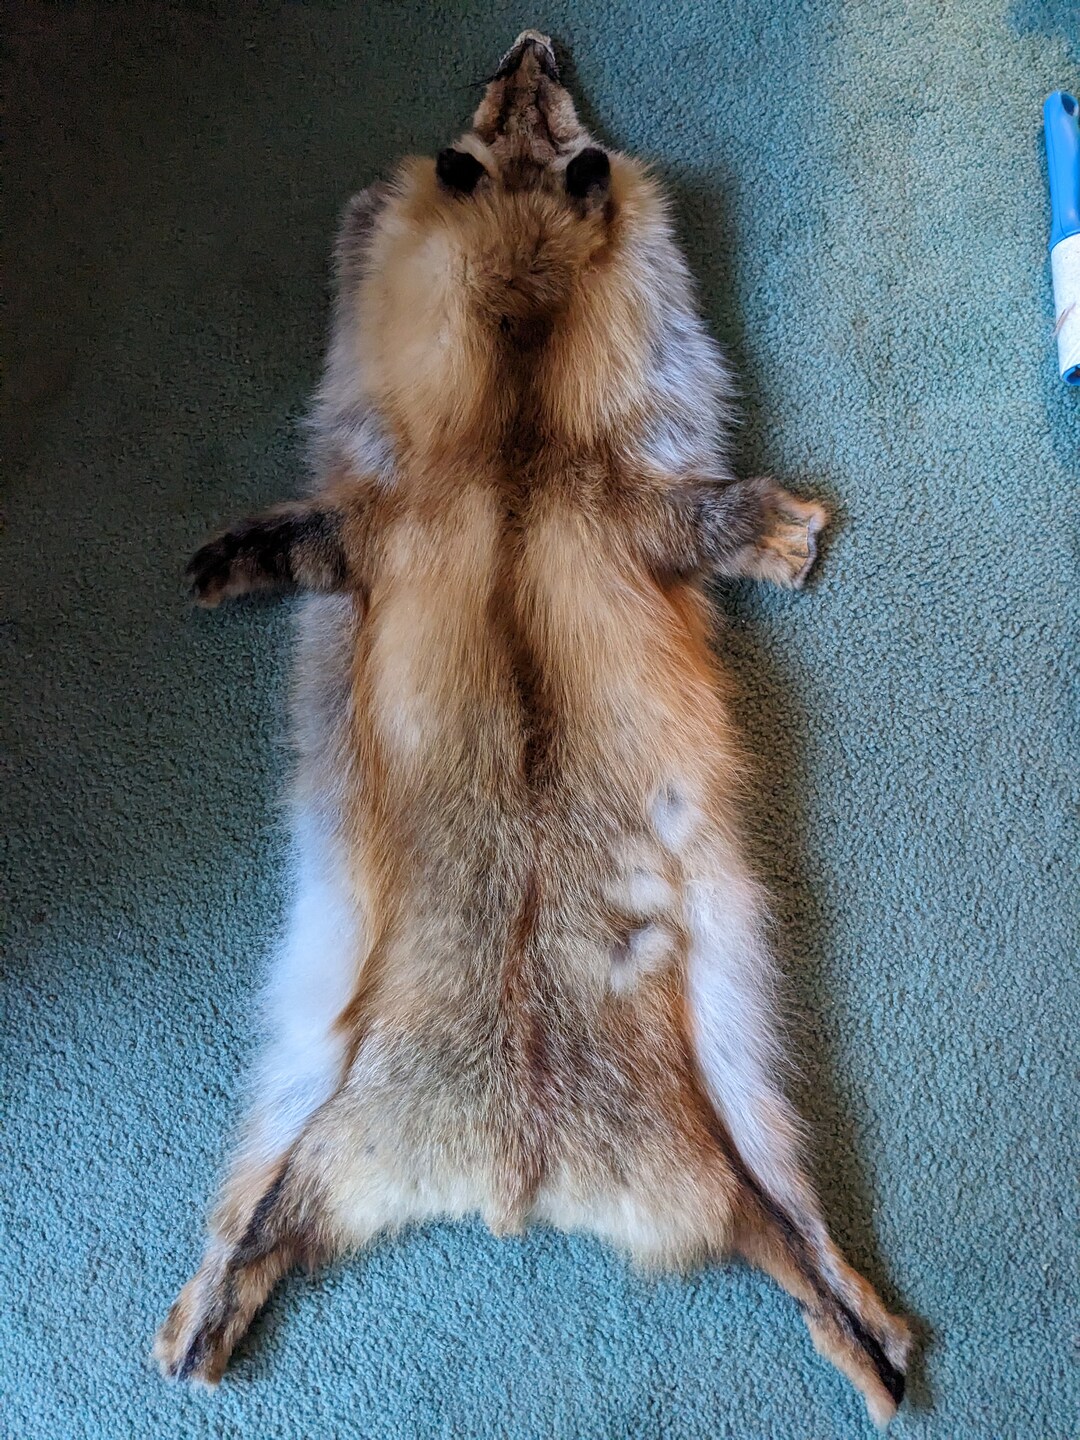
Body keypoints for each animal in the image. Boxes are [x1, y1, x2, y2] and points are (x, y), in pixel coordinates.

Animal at [154, 31, 912, 1426]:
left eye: (556, 129)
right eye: (494, 127)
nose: (528, 43)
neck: (515, 433)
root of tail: (521, 1178)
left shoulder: (602, 511)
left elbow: (717, 515)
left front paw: (787, 534)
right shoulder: (390, 527)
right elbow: (297, 537)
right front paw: (219, 565)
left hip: (737, 1134)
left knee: (795, 1239)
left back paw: (878, 1348)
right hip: (336, 1146)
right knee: (264, 1230)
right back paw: (202, 1322)